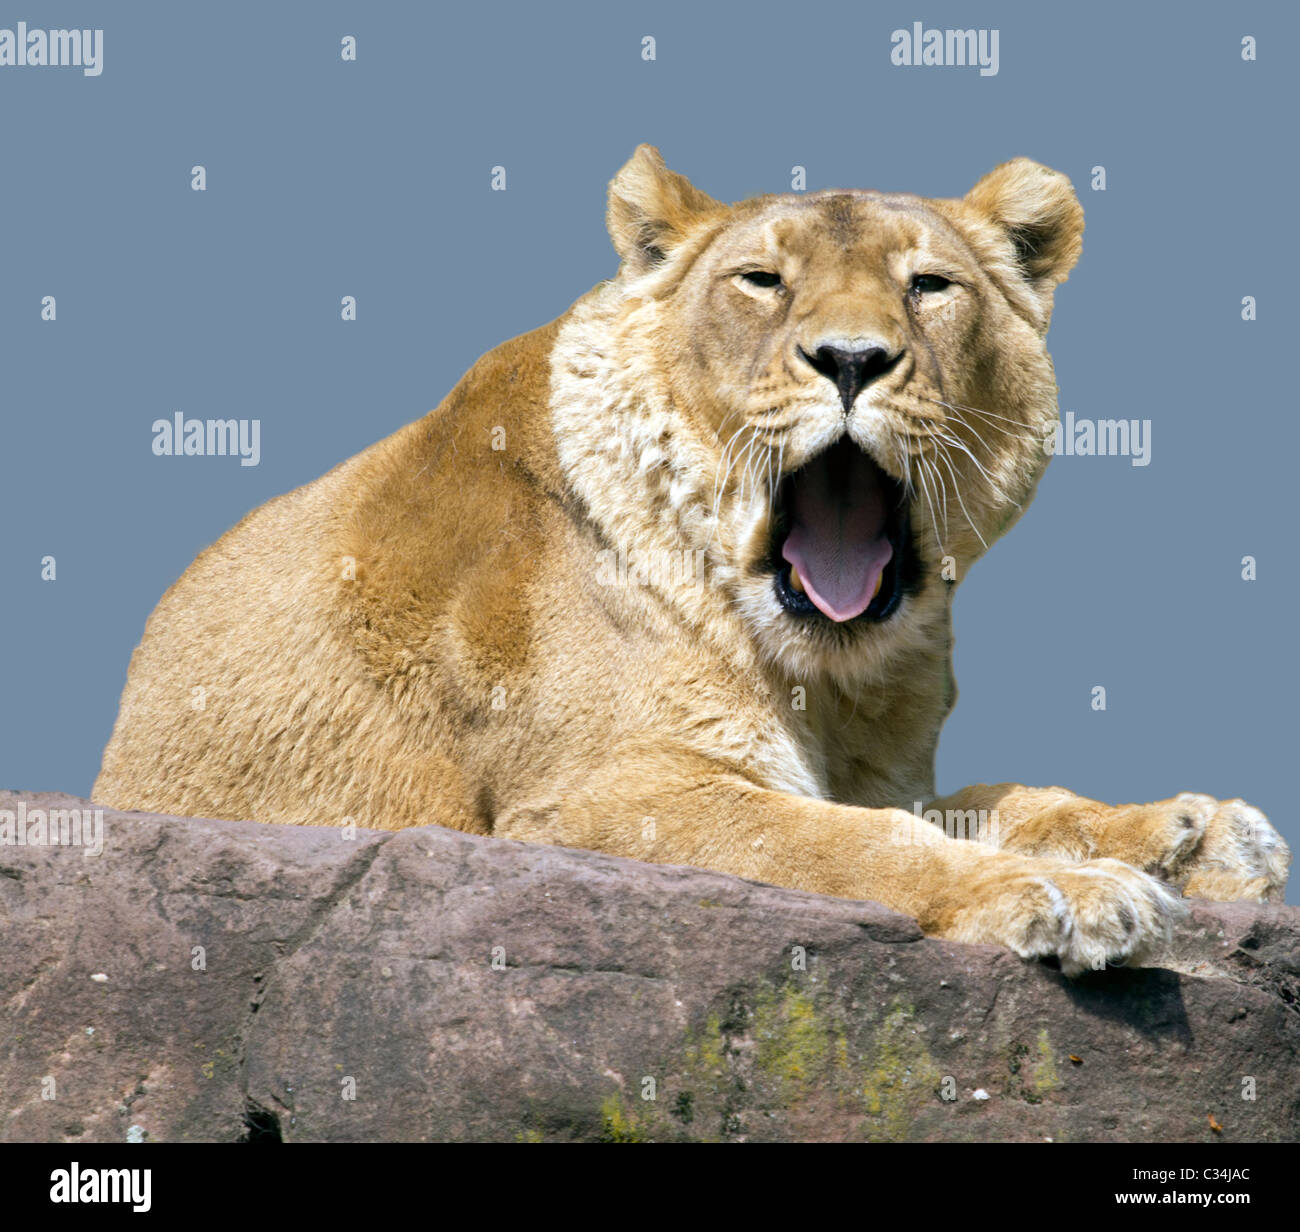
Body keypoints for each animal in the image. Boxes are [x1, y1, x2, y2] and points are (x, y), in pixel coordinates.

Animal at [94, 146, 1289, 975]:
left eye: (928, 287)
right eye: (761, 280)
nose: (850, 359)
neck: (830, 676)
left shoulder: (889, 765)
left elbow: (985, 796)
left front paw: (1186, 834)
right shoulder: (593, 799)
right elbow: (859, 844)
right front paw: (1068, 889)